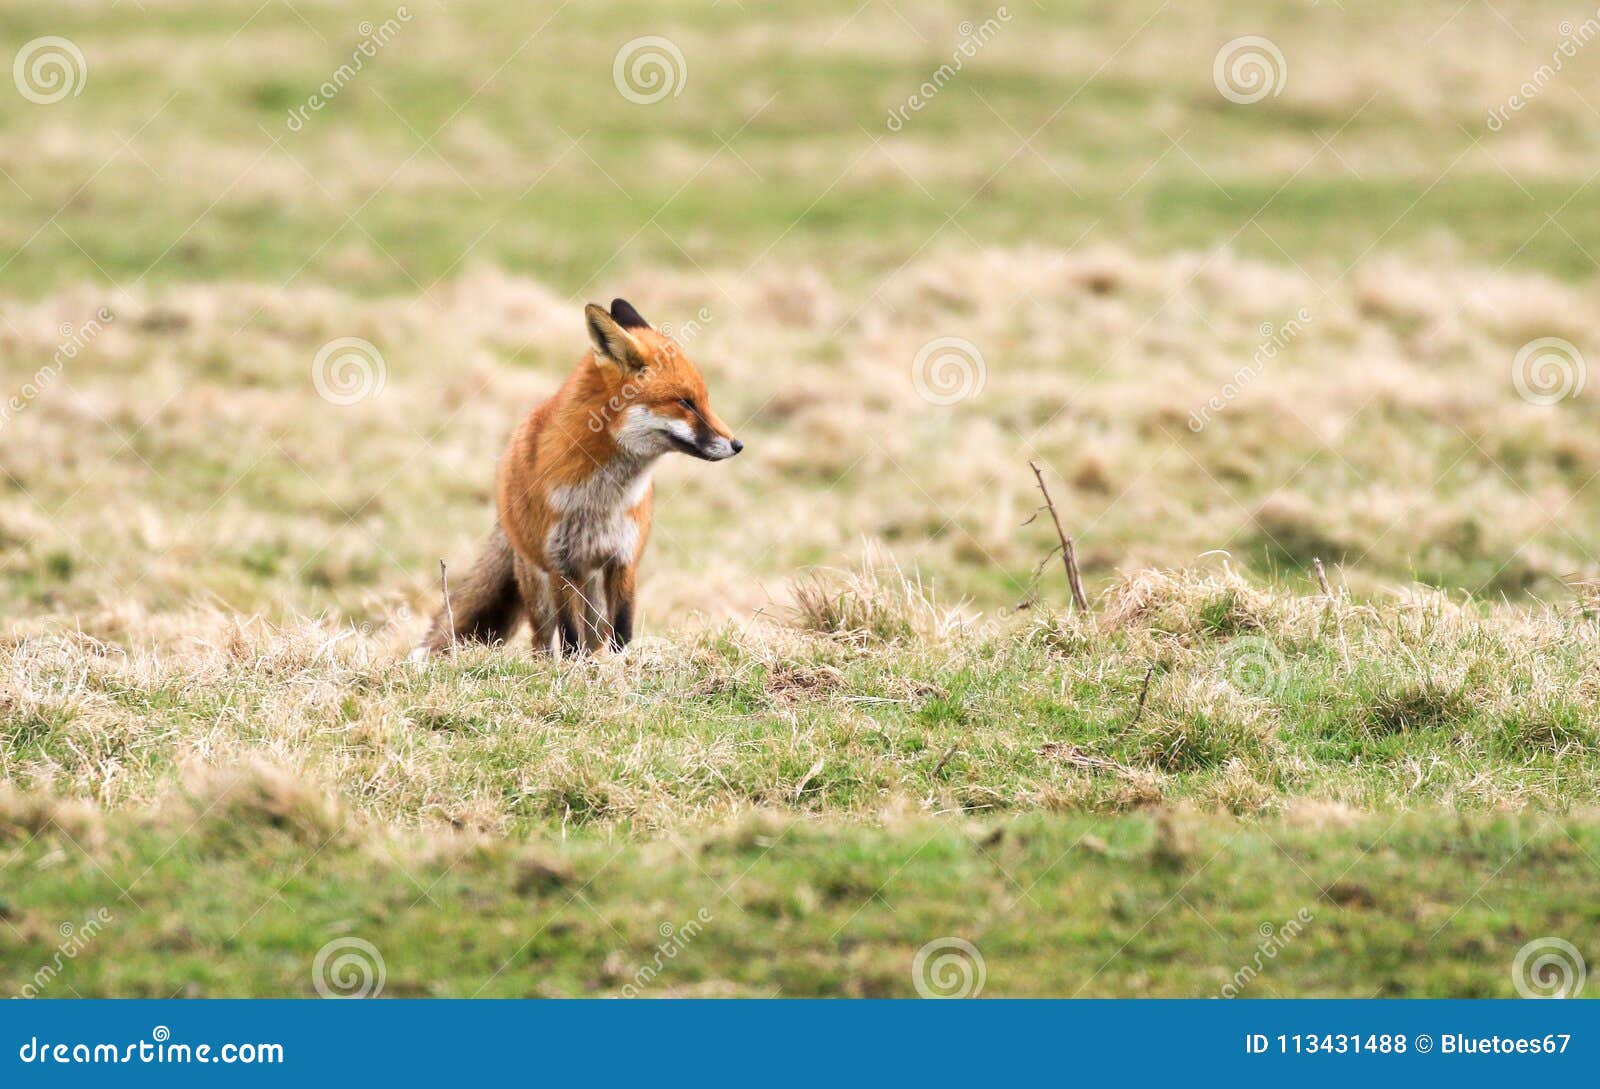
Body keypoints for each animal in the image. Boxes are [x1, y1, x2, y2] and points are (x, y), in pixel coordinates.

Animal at [414, 298, 742, 659]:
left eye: (704, 400)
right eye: (685, 402)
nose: (737, 444)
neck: (601, 499)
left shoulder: (623, 559)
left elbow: (622, 630)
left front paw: (620, 664)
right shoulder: (560, 565)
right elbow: (570, 638)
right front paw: (575, 669)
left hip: (594, 587)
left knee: (595, 634)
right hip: (537, 583)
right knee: (543, 641)